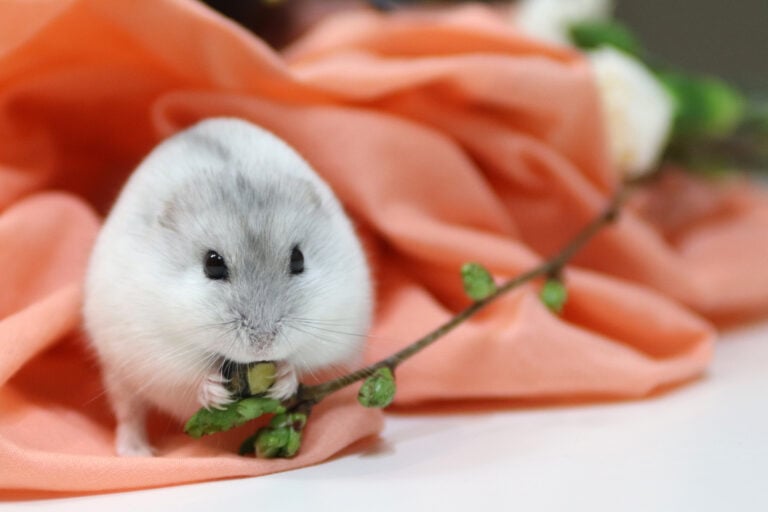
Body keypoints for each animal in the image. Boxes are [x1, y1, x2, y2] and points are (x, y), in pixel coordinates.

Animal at [83, 118, 373, 456]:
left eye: (298, 259)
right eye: (213, 264)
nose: (263, 344)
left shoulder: (332, 336)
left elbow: (302, 363)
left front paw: (283, 380)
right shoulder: (157, 353)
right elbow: (190, 380)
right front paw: (216, 394)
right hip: (119, 376)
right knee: (130, 414)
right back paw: (138, 452)